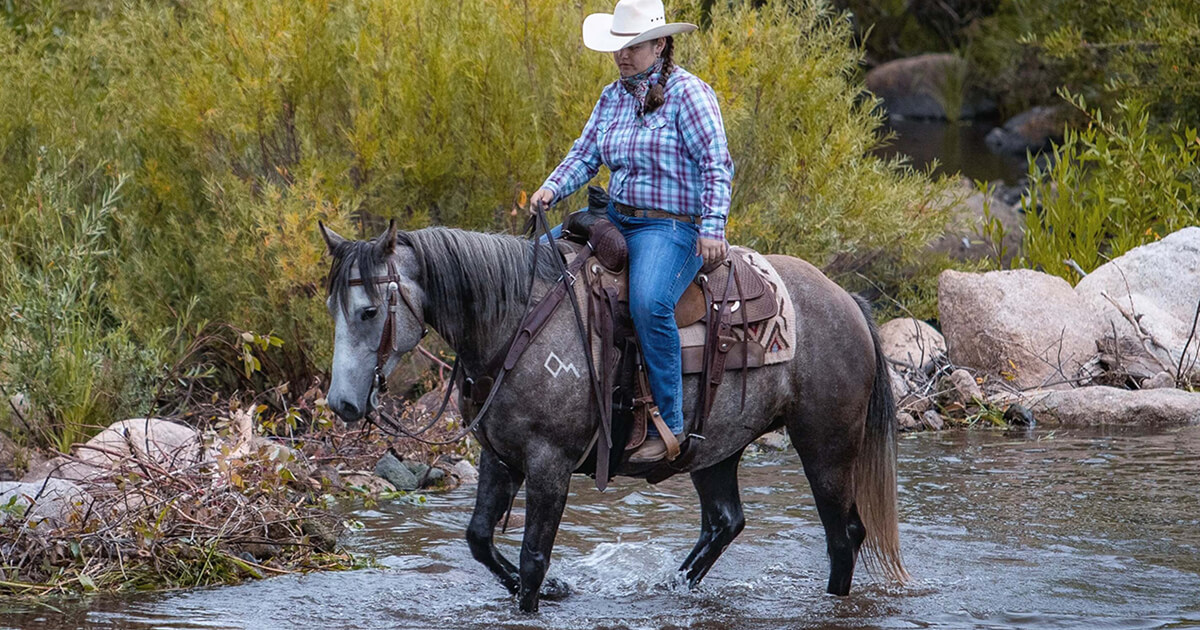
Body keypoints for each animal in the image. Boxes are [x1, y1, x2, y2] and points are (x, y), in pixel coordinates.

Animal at [319, 221, 906, 612]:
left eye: (369, 311)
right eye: (333, 310)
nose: (342, 404)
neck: (516, 325)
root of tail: (847, 300)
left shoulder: (549, 463)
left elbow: (533, 558)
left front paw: (538, 593)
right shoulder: (499, 456)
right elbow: (480, 537)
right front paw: (559, 588)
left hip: (827, 446)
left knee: (843, 535)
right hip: (715, 448)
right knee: (725, 522)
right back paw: (675, 586)